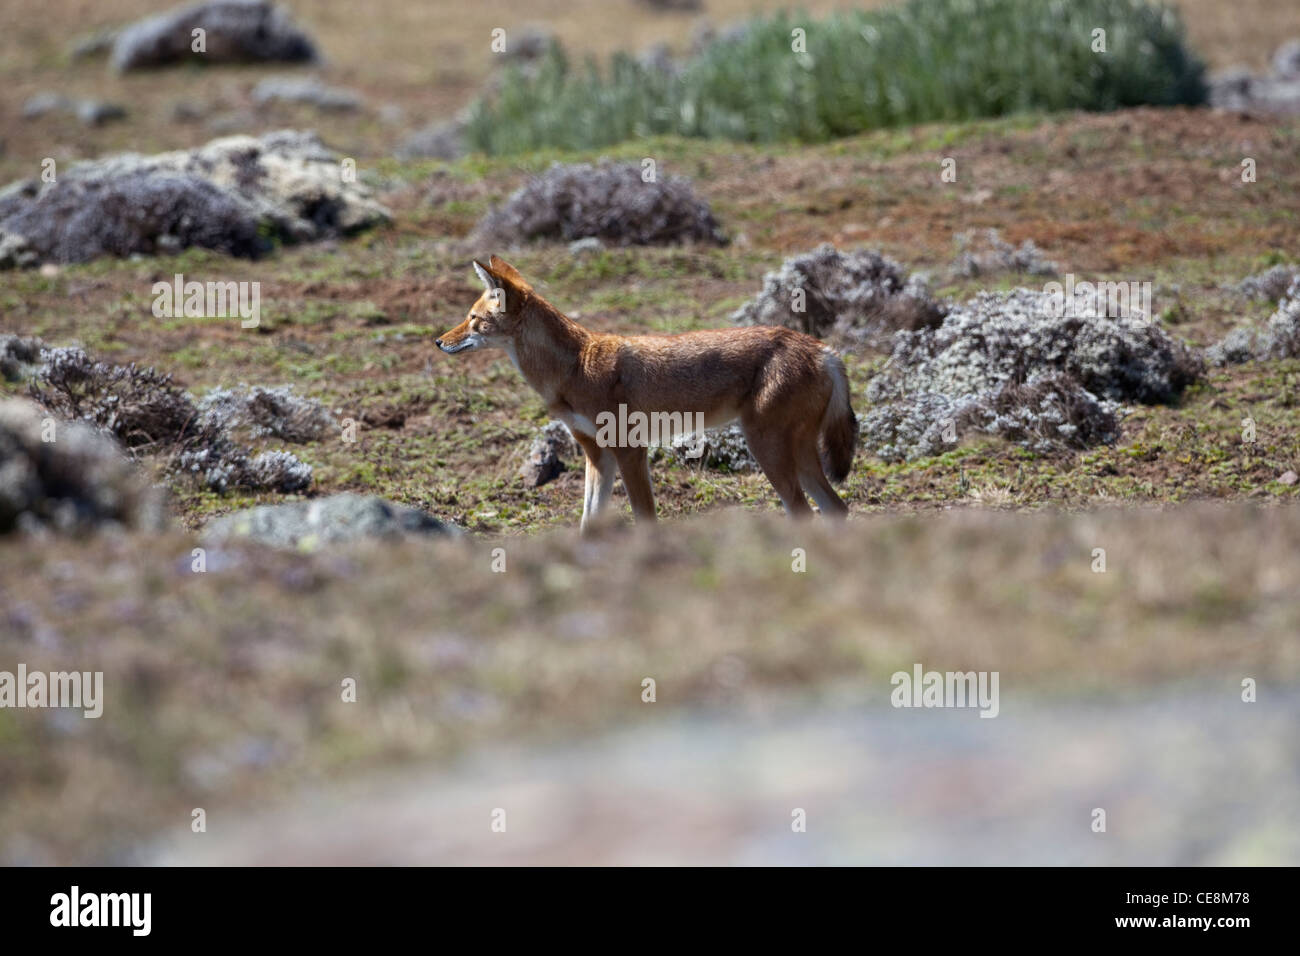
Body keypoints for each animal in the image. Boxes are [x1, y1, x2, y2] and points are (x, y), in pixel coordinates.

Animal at [436, 255, 857, 532]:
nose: (438, 341)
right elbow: (588, 522)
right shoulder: (597, 457)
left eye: (473, 319)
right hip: (796, 458)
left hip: (767, 451)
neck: (574, 366)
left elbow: (645, 519)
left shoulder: (629, 451)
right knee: (837, 509)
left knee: (805, 513)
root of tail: (824, 350)